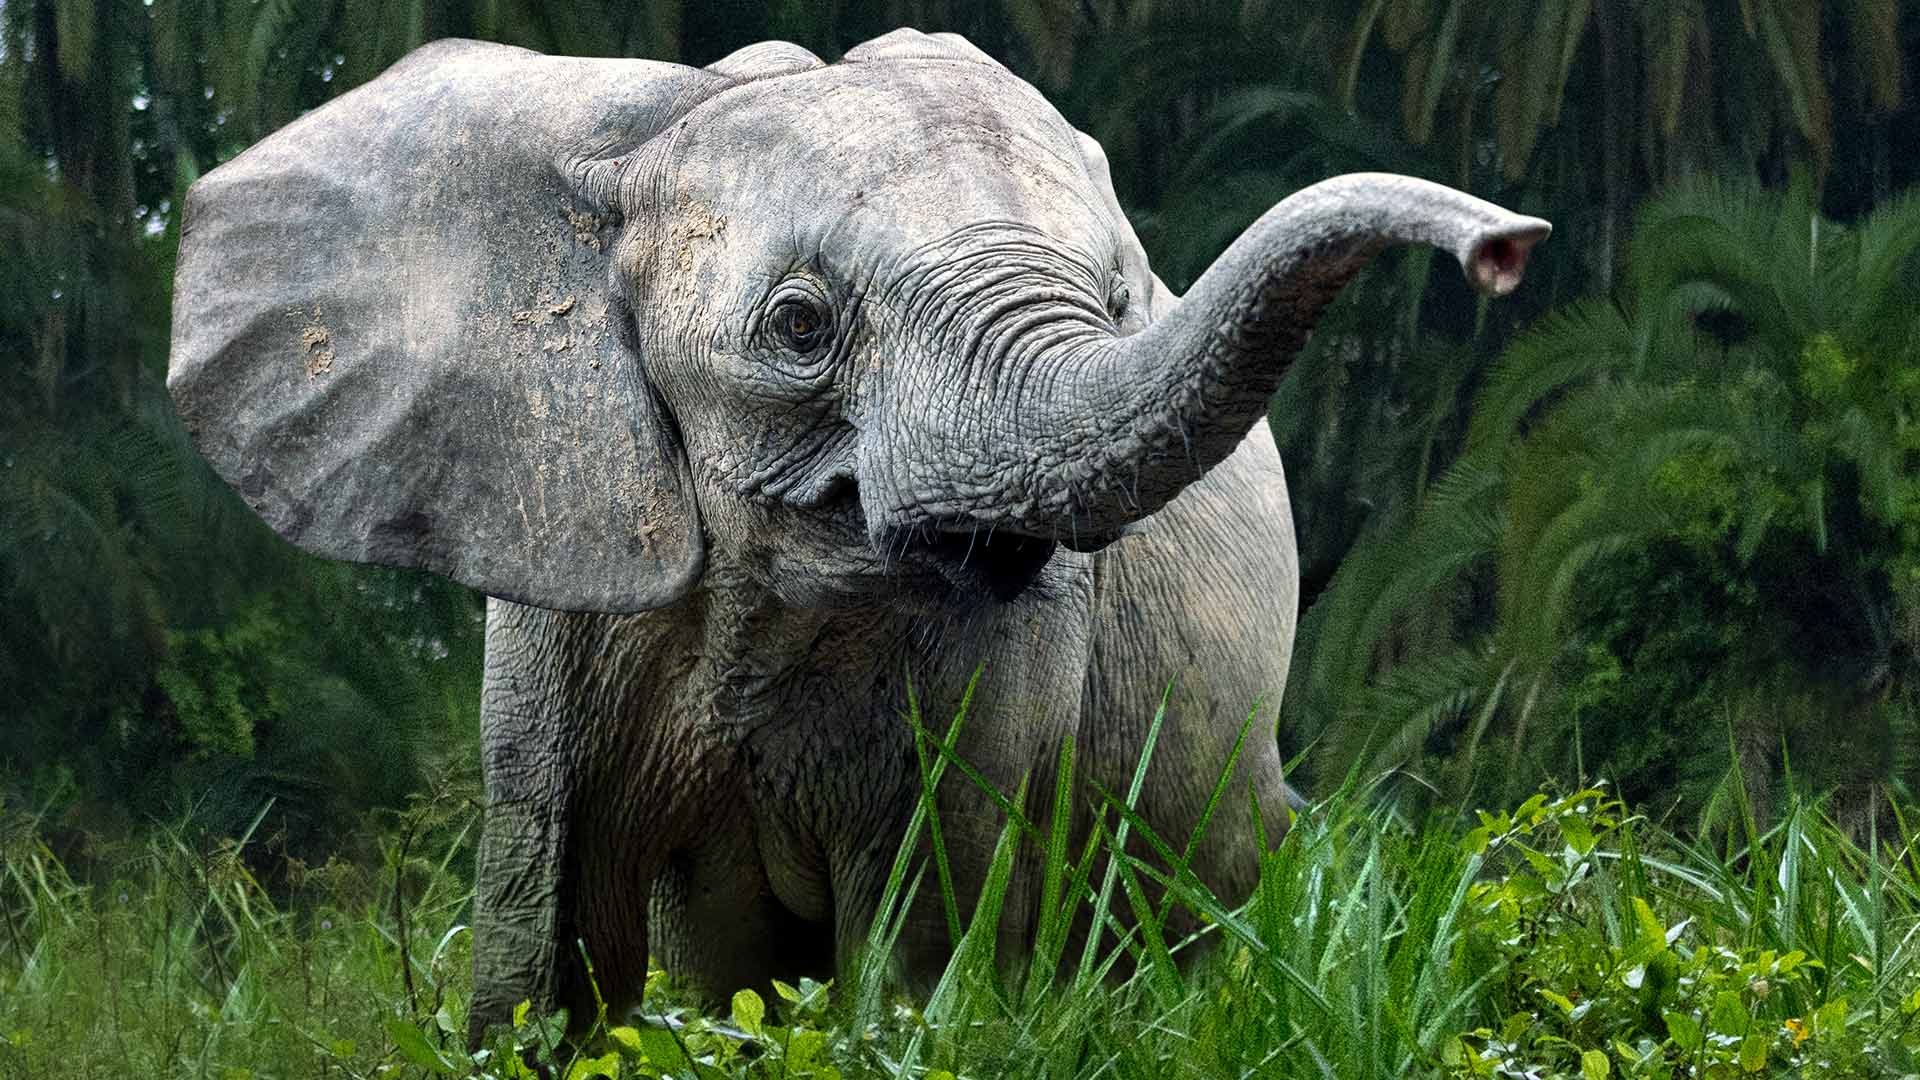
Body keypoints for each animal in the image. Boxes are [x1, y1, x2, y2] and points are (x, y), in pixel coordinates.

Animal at [166, 29, 1546, 1042]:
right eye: (798, 325)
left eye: (1118, 304)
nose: (1507, 248)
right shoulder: (562, 560)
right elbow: (549, 940)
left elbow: (920, 934)